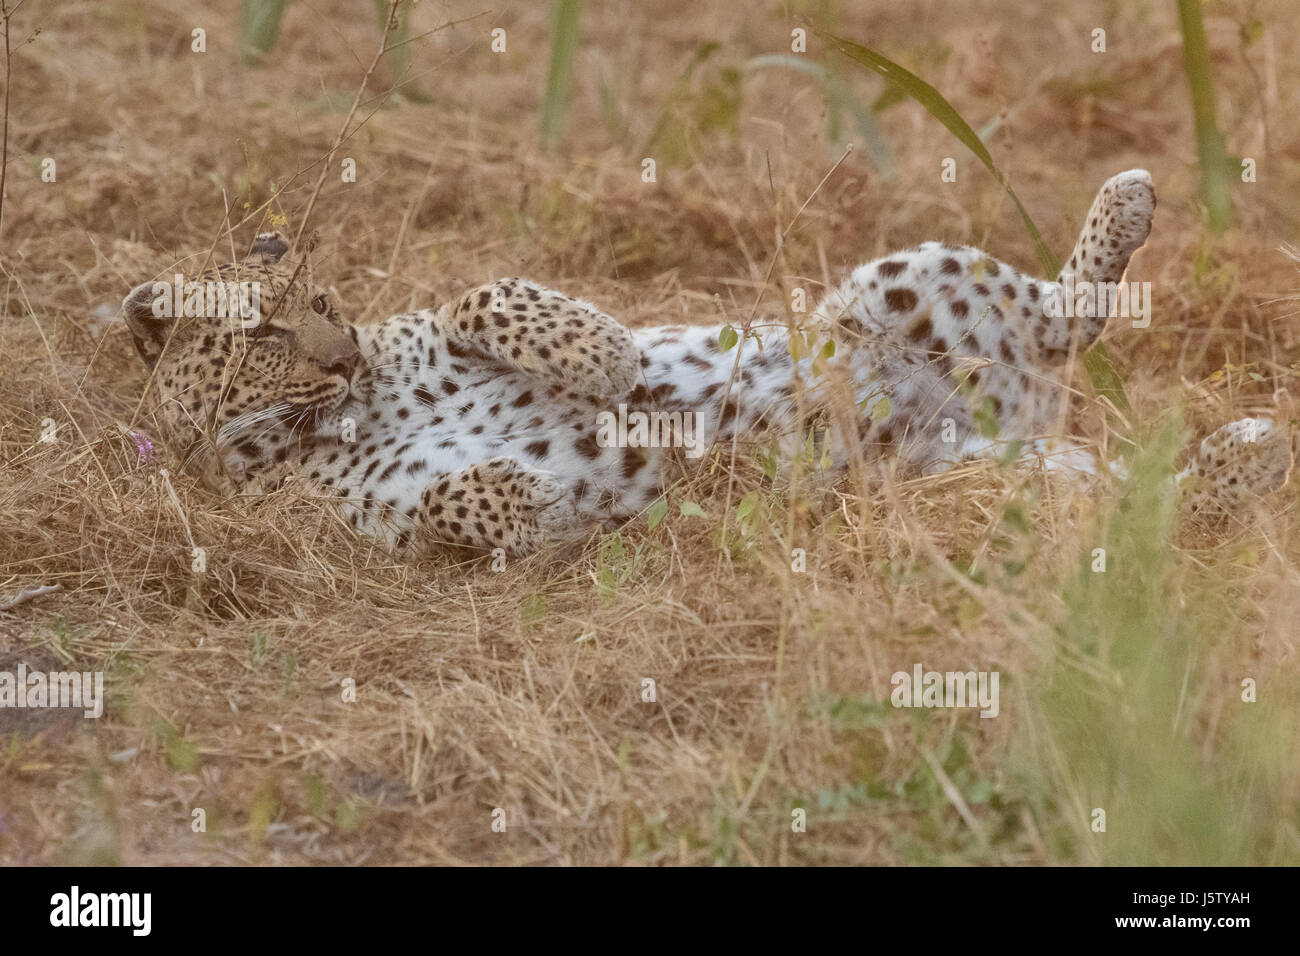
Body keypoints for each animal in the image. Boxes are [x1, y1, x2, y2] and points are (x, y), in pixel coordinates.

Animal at [119, 169, 1294, 556]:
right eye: (262, 335)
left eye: (321, 302)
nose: (342, 352)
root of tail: (1012, 412)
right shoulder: (381, 531)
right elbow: (457, 506)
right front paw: (530, 497)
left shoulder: (431, 321)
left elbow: (482, 292)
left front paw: (603, 355)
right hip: (978, 488)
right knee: (1150, 506)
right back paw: (1253, 451)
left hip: (909, 279)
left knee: (1066, 314)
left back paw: (1127, 207)